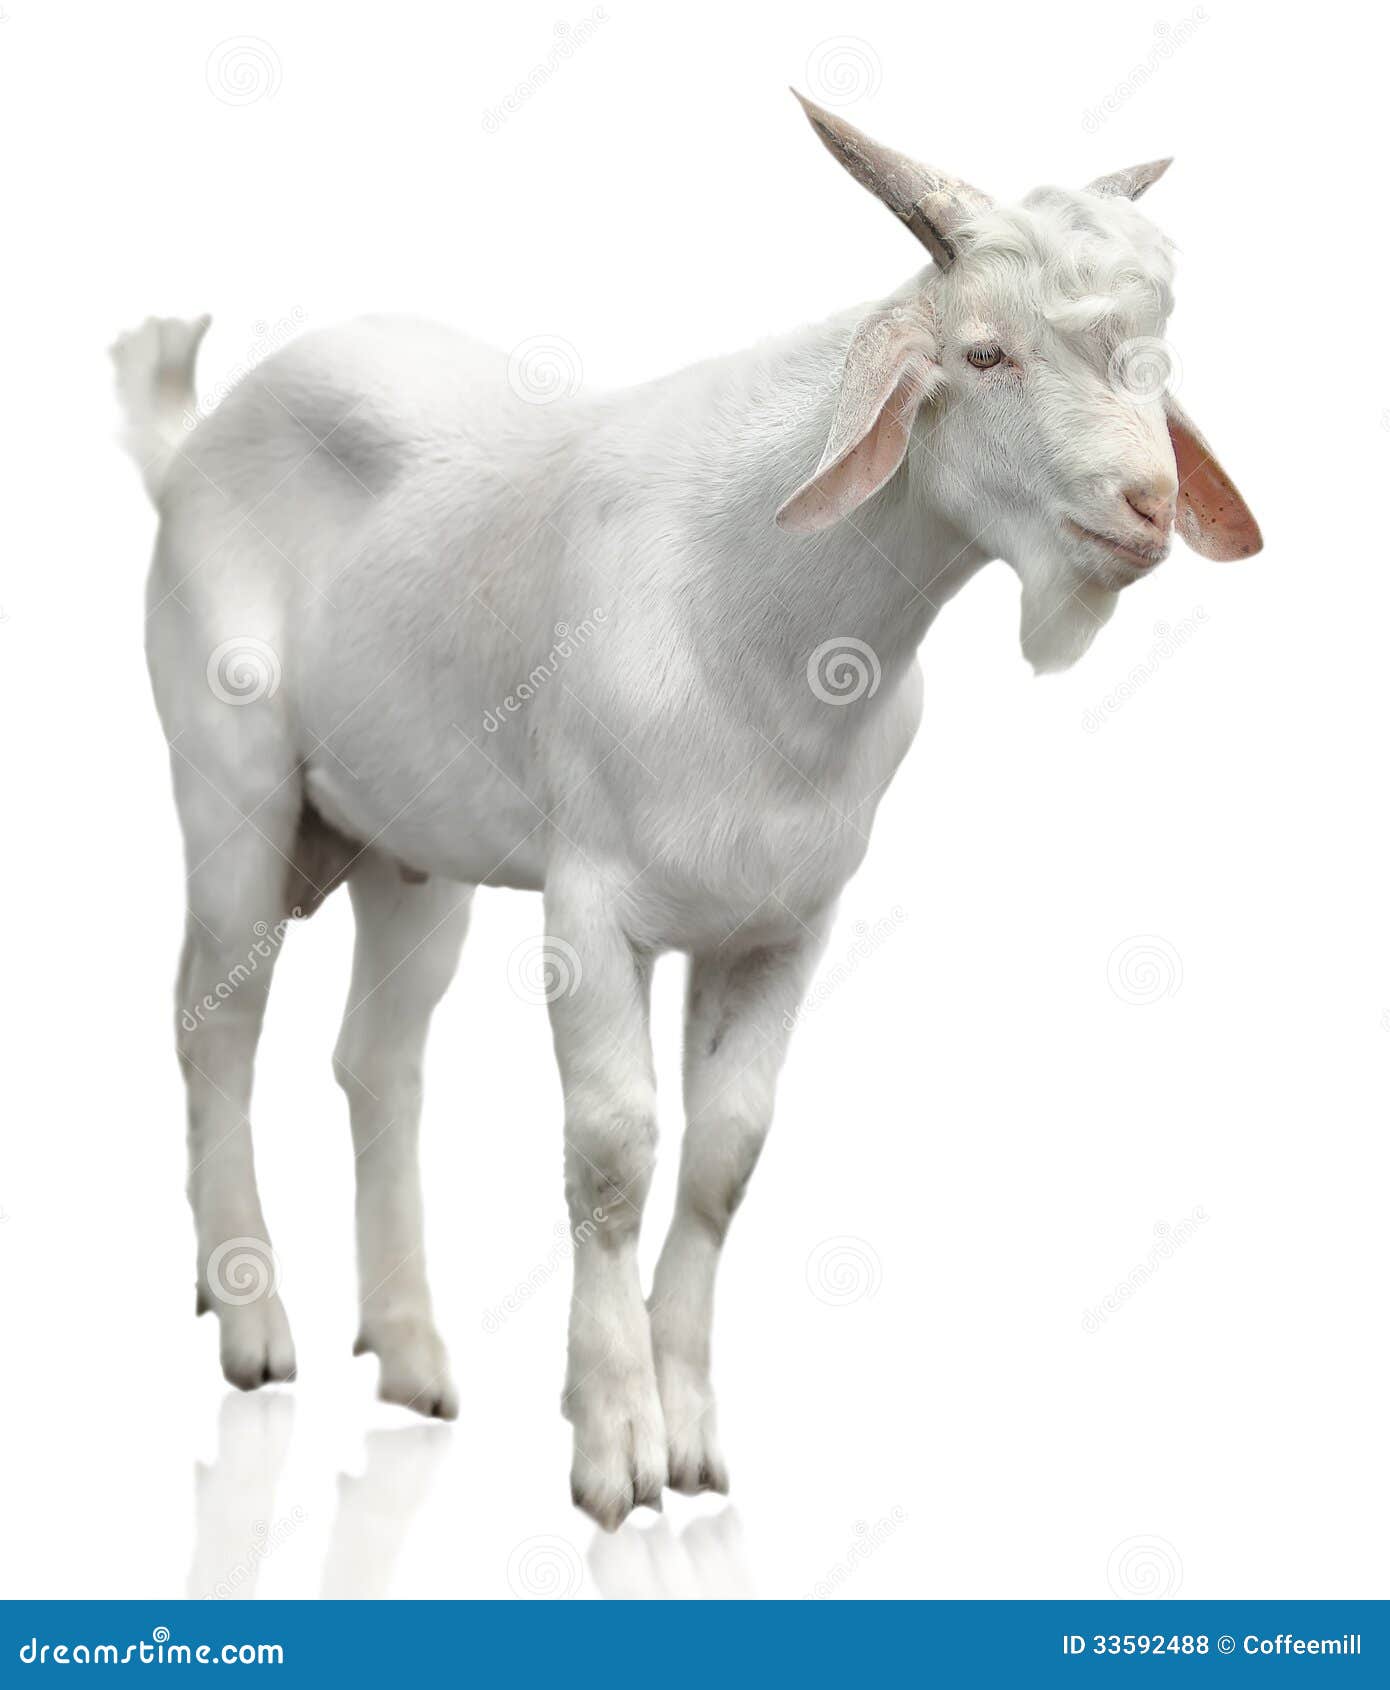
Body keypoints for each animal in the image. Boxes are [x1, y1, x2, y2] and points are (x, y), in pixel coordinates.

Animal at [112, 93, 1261, 1530]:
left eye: (1153, 354)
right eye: (984, 351)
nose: (1146, 505)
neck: (760, 613)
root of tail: (191, 446)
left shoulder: (782, 923)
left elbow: (724, 1155)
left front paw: (696, 1440)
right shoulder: (590, 906)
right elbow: (613, 1151)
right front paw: (615, 1449)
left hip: (407, 848)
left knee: (378, 1058)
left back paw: (415, 1355)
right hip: (231, 781)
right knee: (214, 1021)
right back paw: (252, 1323)